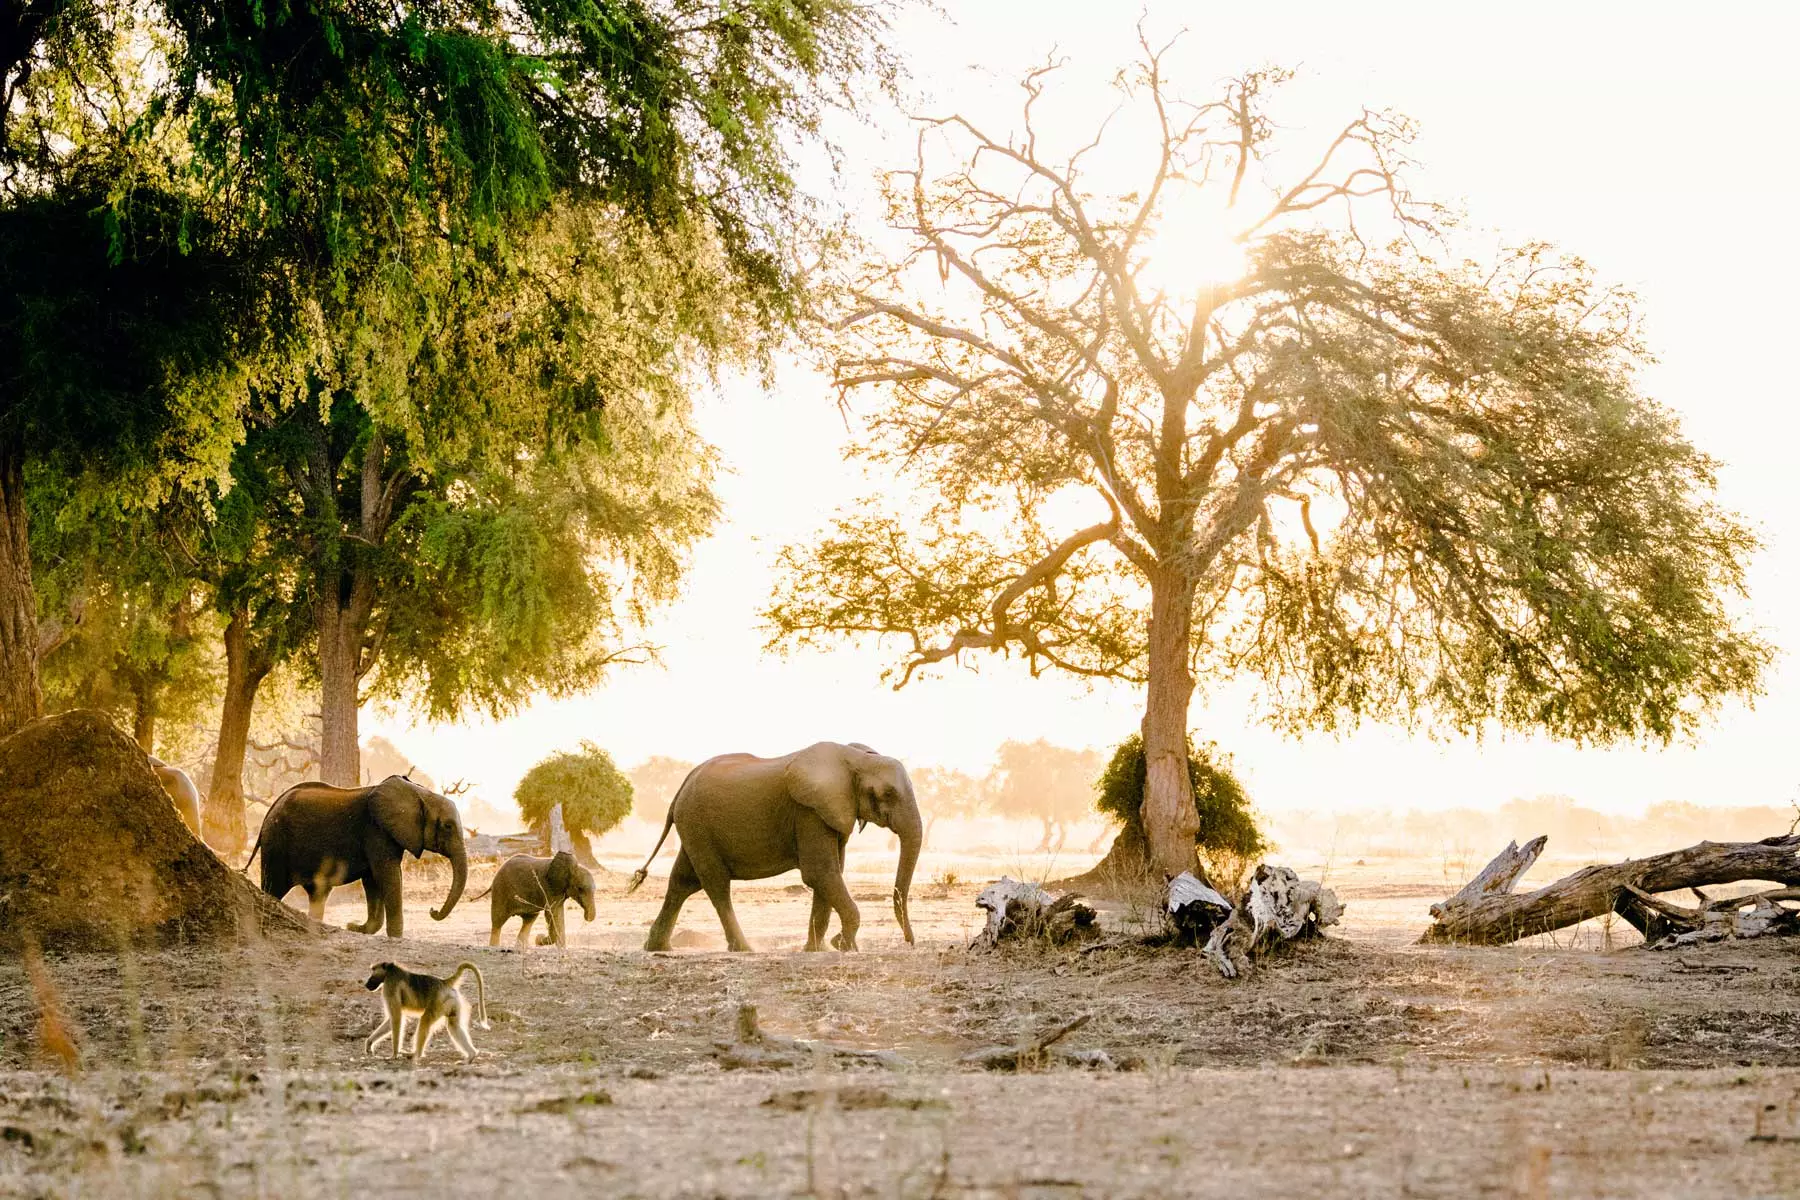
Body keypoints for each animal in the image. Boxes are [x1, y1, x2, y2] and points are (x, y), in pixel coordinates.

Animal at [243, 773, 468, 942]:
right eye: (448, 826)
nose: (433, 910)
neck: (420, 793)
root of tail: (270, 809)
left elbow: (373, 880)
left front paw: (356, 928)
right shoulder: (376, 831)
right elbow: (387, 875)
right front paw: (395, 938)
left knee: (318, 894)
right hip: (275, 844)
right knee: (274, 888)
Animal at [626, 737, 921, 949]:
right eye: (888, 793)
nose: (910, 942)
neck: (855, 759)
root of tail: (683, 784)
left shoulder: (831, 812)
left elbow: (830, 872)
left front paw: (817, 950)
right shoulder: (809, 811)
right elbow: (820, 872)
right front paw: (844, 946)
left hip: (694, 827)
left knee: (683, 881)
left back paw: (657, 948)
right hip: (696, 823)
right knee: (716, 885)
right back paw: (744, 949)